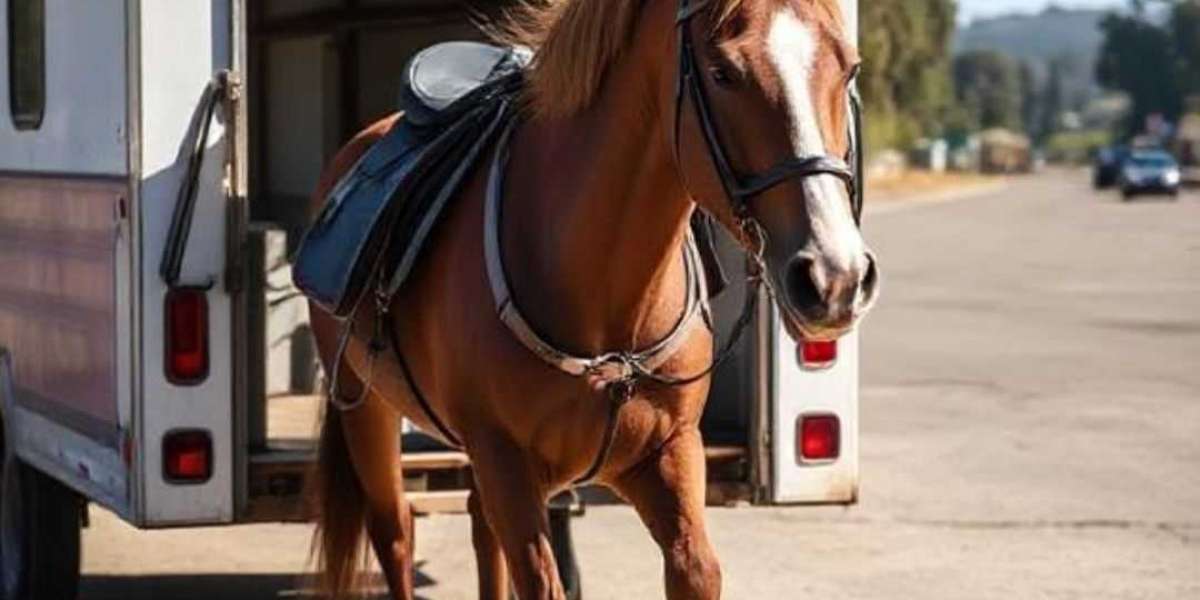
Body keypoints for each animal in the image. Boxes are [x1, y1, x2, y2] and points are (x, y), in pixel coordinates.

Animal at [306, 0, 878, 597]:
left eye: (849, 68)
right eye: (723, 73)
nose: (835, 277)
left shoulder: (667, 452)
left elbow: (697, 567)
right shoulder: (506, 463)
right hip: (367, 407)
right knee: (394, 532)